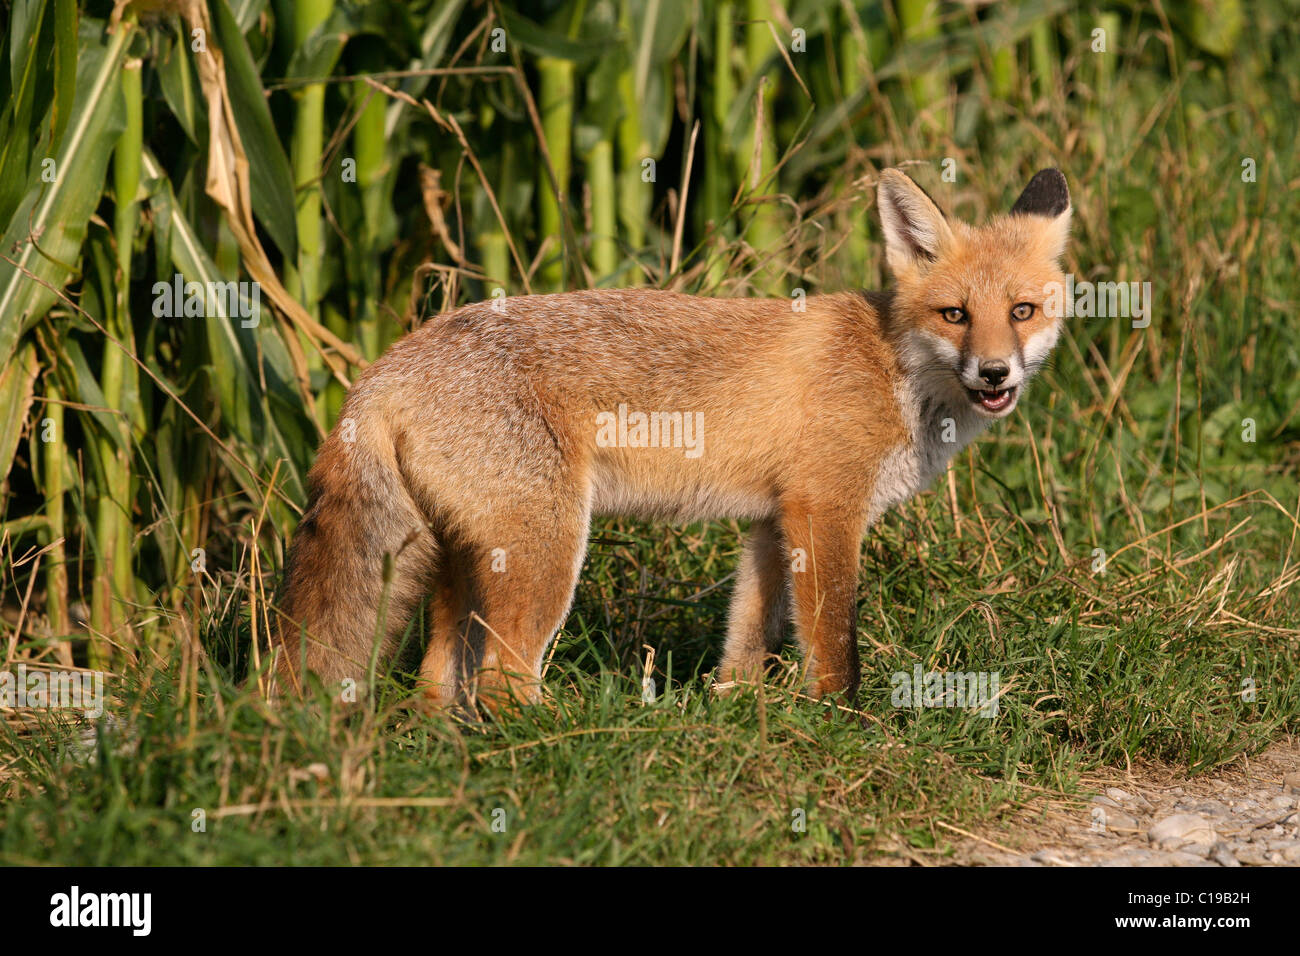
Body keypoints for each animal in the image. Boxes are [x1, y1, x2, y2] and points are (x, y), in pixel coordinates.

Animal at [273, 167, 1072, 712]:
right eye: (955, 314)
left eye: (1022, 311)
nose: (995, 372)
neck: (892, 369)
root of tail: (384, 368)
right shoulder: (825, 511)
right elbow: (834, 644)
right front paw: (842, 724)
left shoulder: (773, 520)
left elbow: (748, 635)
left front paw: (738, 712)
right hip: (546, 551)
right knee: (501, 680)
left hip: (469, 558)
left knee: (438, 682)